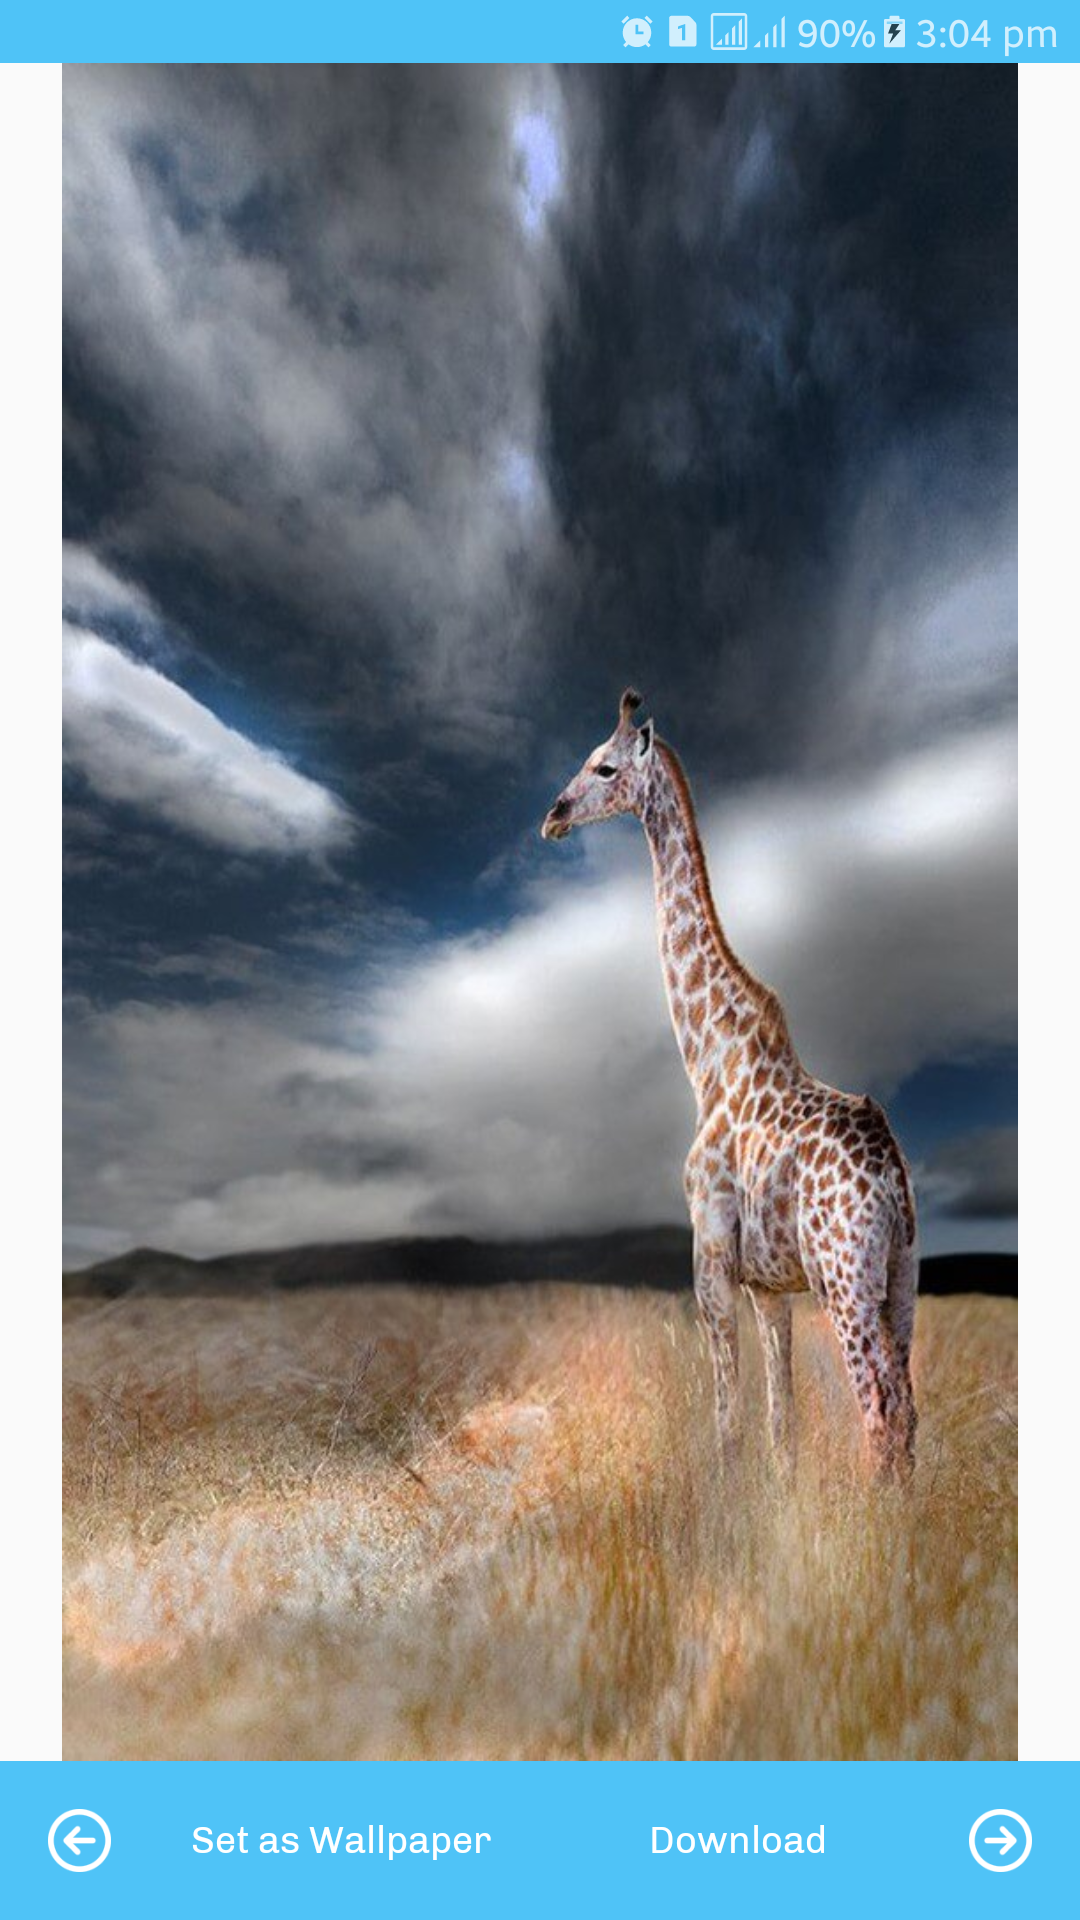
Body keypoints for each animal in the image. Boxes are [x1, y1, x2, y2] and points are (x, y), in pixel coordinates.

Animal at [541, 689, 918, 1481]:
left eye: (605, 766)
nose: (552, 815)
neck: (708, 1057)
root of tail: (891, 1172)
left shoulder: (710, 1253)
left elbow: (728, 1419)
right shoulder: (769, 1285)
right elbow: (782, 1423)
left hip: (845, 1276)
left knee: (878, 1409)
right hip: (902, 1275)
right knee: (907, 1407)